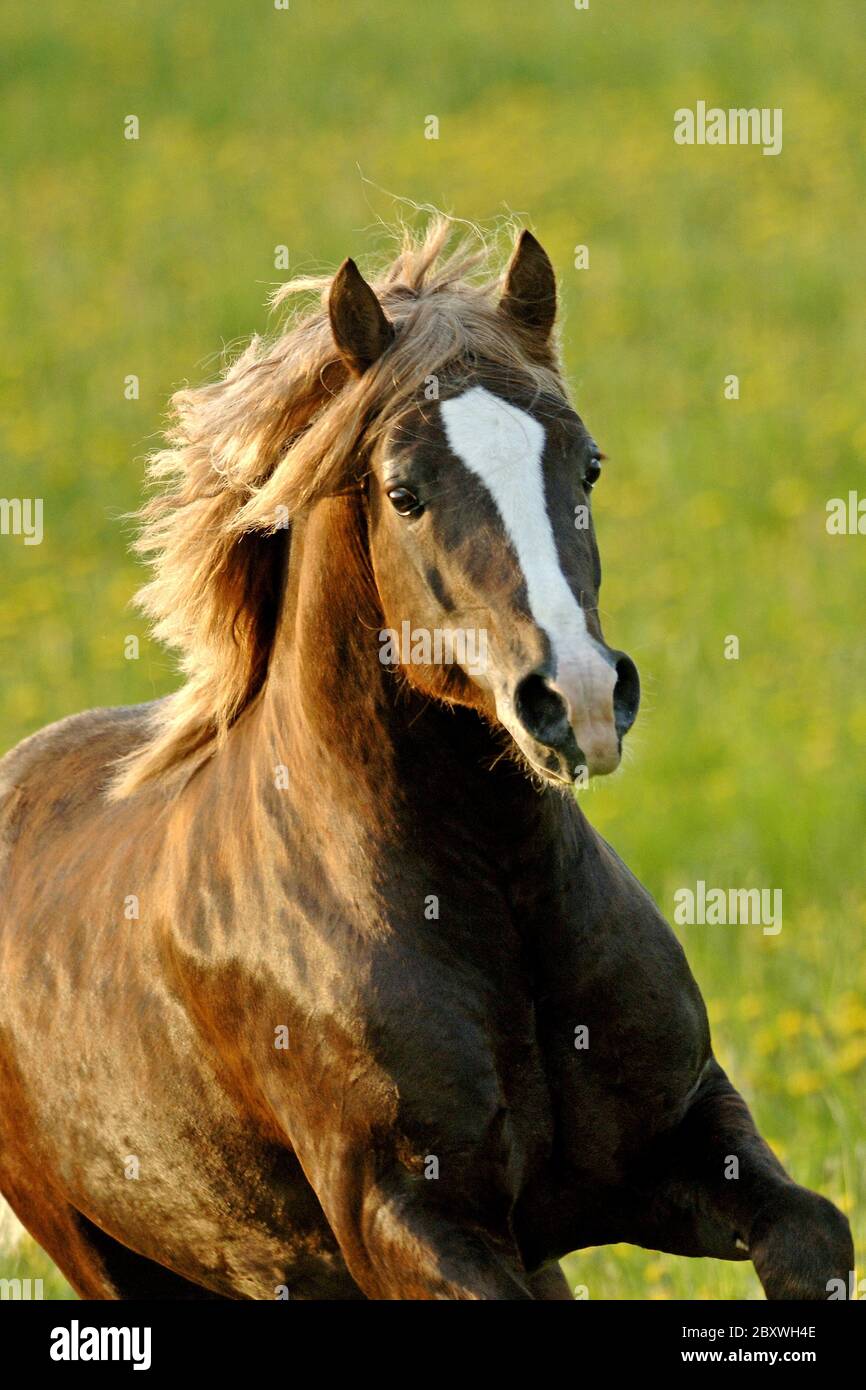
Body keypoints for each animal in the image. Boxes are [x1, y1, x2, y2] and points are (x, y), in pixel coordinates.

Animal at [0, 221, 852, 1300]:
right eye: (403, 492)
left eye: (587, 466)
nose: (578, 698)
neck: (492, 903)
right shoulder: (411, 1224)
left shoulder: (683, 1137)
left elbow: (810, 1232)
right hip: (106, 1254)